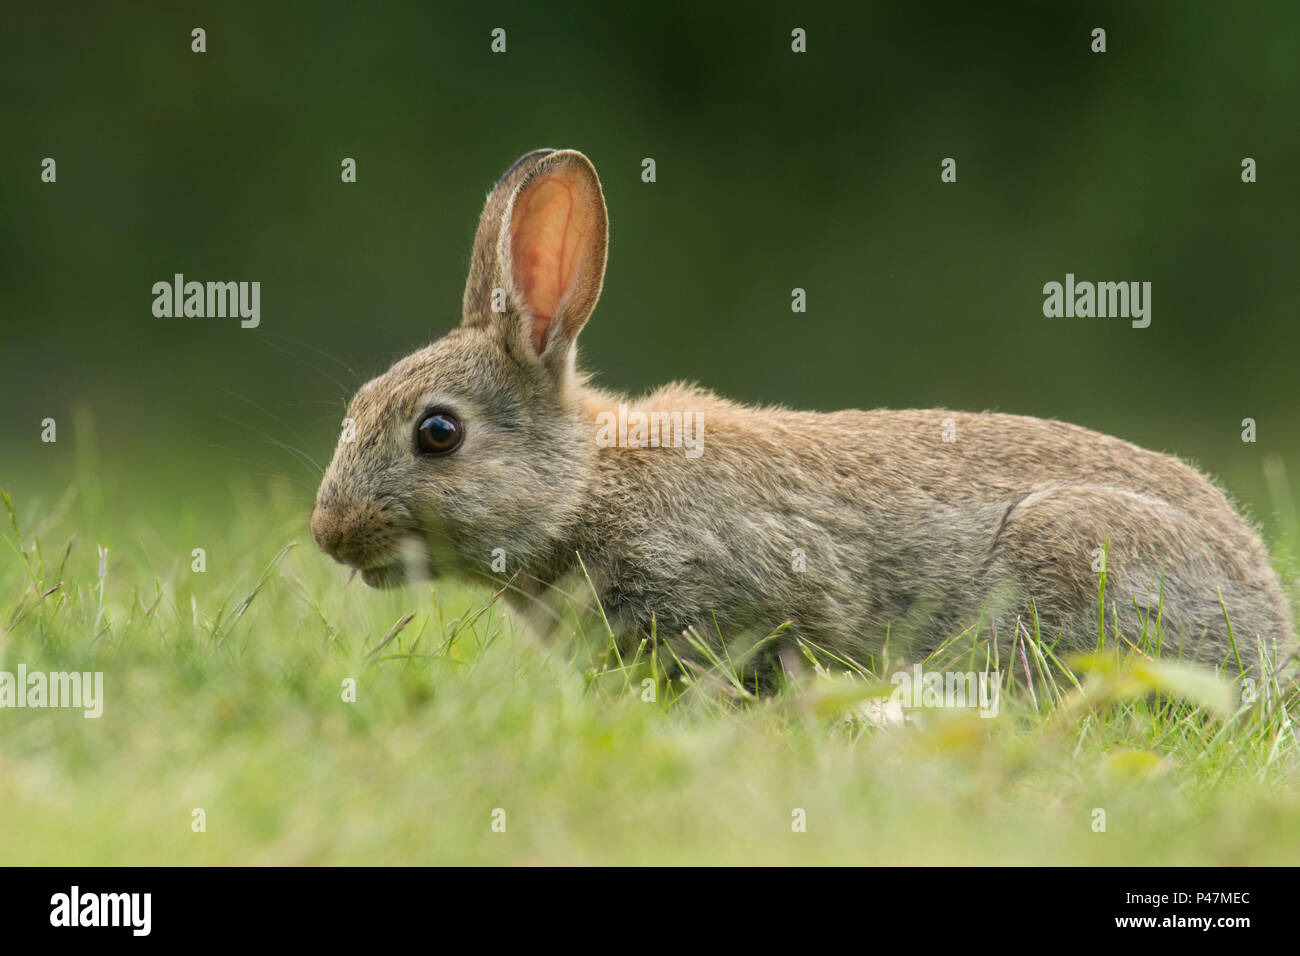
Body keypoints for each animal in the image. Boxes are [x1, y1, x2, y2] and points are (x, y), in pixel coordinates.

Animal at [310, 147, 1294, 681]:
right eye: (355, 408)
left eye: (438, 433)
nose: (329, 532)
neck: (585, 487)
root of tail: (1271, 628)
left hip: (1074, 548)